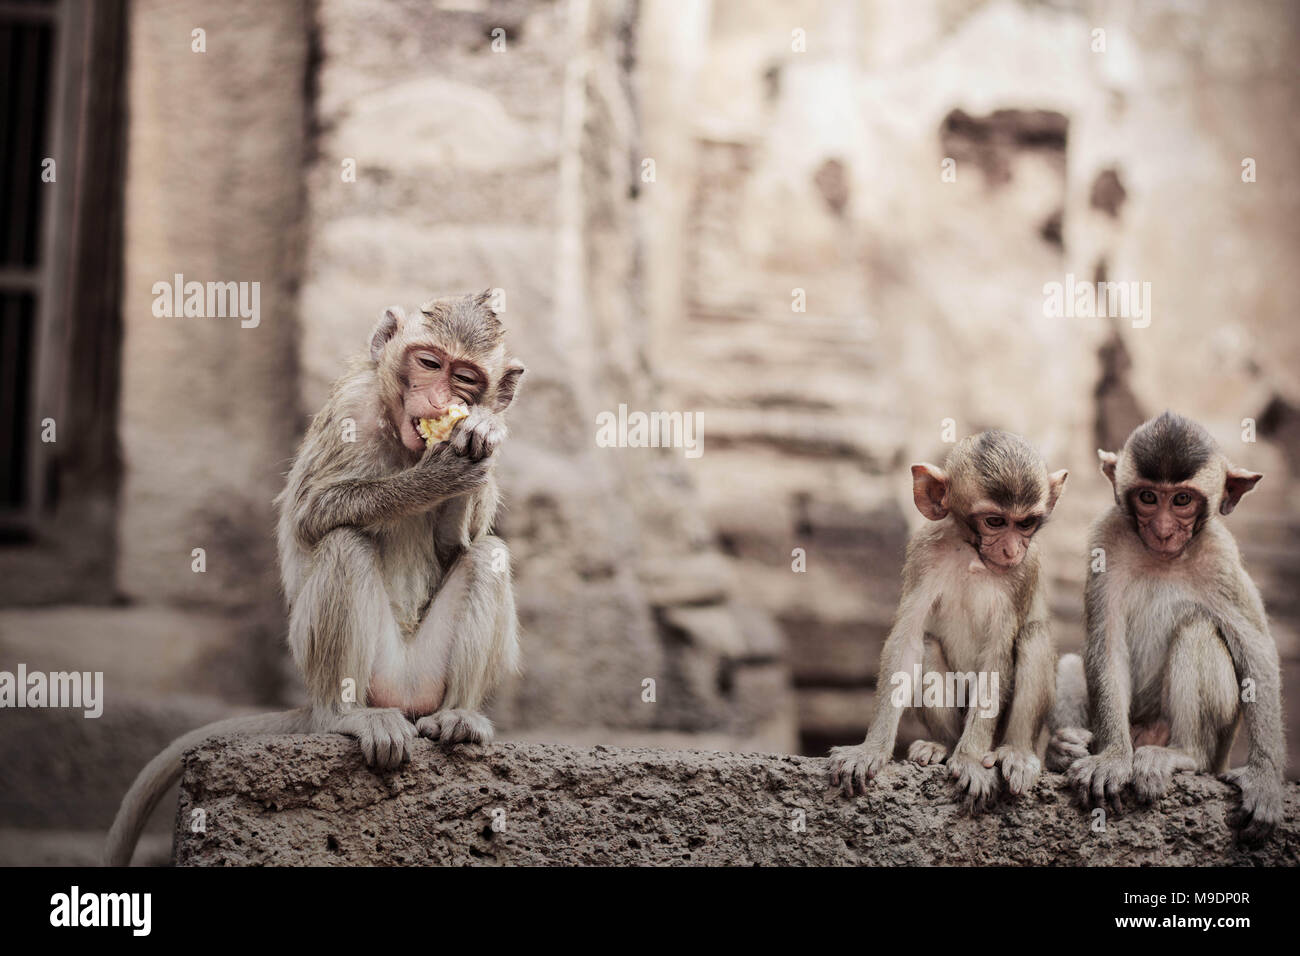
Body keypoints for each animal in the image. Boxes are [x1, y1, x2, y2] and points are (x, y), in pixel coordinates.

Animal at [103, 290, 524, 865]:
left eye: (464, 378)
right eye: (428, 362)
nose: (441, 400)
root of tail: (400, 696)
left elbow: (455, 547)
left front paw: (478, 434)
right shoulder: (351, 406)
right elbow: (311, 515)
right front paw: (438, 474)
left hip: (421, 679)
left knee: (488, 555)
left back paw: (458, 717)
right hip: (354, 669)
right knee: (344, 544)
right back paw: (344, 716)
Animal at [829, 431, 1068, 810]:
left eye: (1026, 523)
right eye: (995, 521)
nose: (1012, 550)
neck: (973, 553)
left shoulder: (1025, 571)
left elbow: (997, 656)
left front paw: (970, 760)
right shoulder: (924, 551)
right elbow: (908, 640)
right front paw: (871, 749)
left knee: (1033, 636)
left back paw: (1014, 752)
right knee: (928, 644)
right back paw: (941, 745)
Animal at [1046, 411, 1283, 841]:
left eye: (1182, 500)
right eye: (1148, 498)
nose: (1162, 530)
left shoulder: (1220, 554)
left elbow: (1255, 650)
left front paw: (1264, 778)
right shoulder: (1107, 536)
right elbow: (1106, 645)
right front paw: (1112, 758)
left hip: (1210, 748)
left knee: (1197, 630)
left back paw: (1183, 755)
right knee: (1072, 663)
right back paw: (1064, 749)